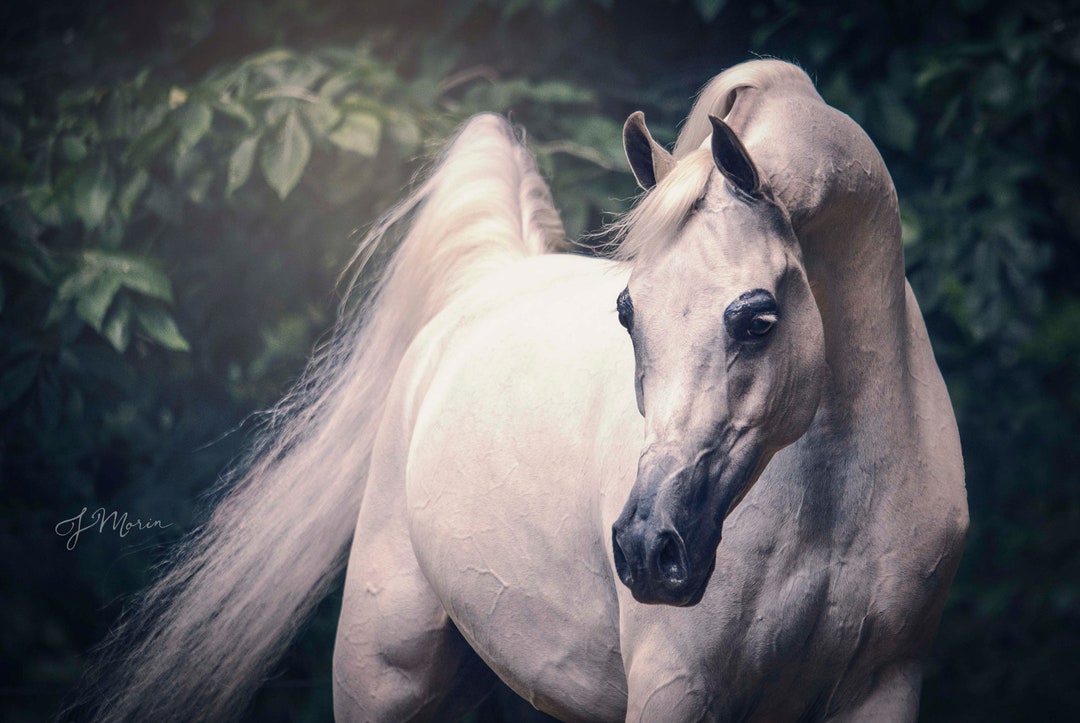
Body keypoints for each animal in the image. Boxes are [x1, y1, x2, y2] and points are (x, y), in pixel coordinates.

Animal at [74, 60, 967, 722]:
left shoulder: (884, 686)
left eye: (758, 318)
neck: (834, 498)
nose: (647, 547)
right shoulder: (678, 691)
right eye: (627, 310)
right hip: (385, 669)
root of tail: (494, 278)